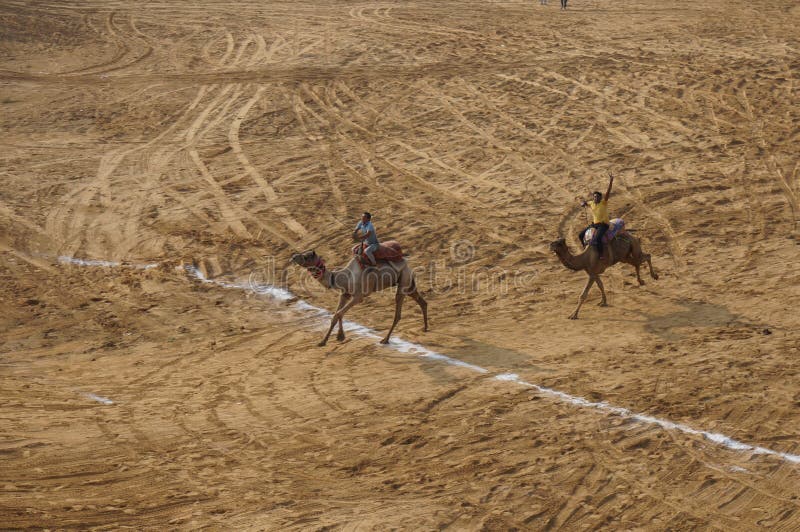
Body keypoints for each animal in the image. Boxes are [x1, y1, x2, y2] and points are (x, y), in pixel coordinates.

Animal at [289, 250, 428, 346]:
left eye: (306, 256)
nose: (293, 257)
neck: (344, 277)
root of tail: (407, 263)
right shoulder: (345, 294)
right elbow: (337, 314)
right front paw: (337, 337)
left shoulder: (358, 297)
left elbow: (338, 313)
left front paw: (327, 340)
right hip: (409, 283)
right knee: (422, 302)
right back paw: (425, 328)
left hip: (403, 279)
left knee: (398, 312)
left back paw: (385, 340)